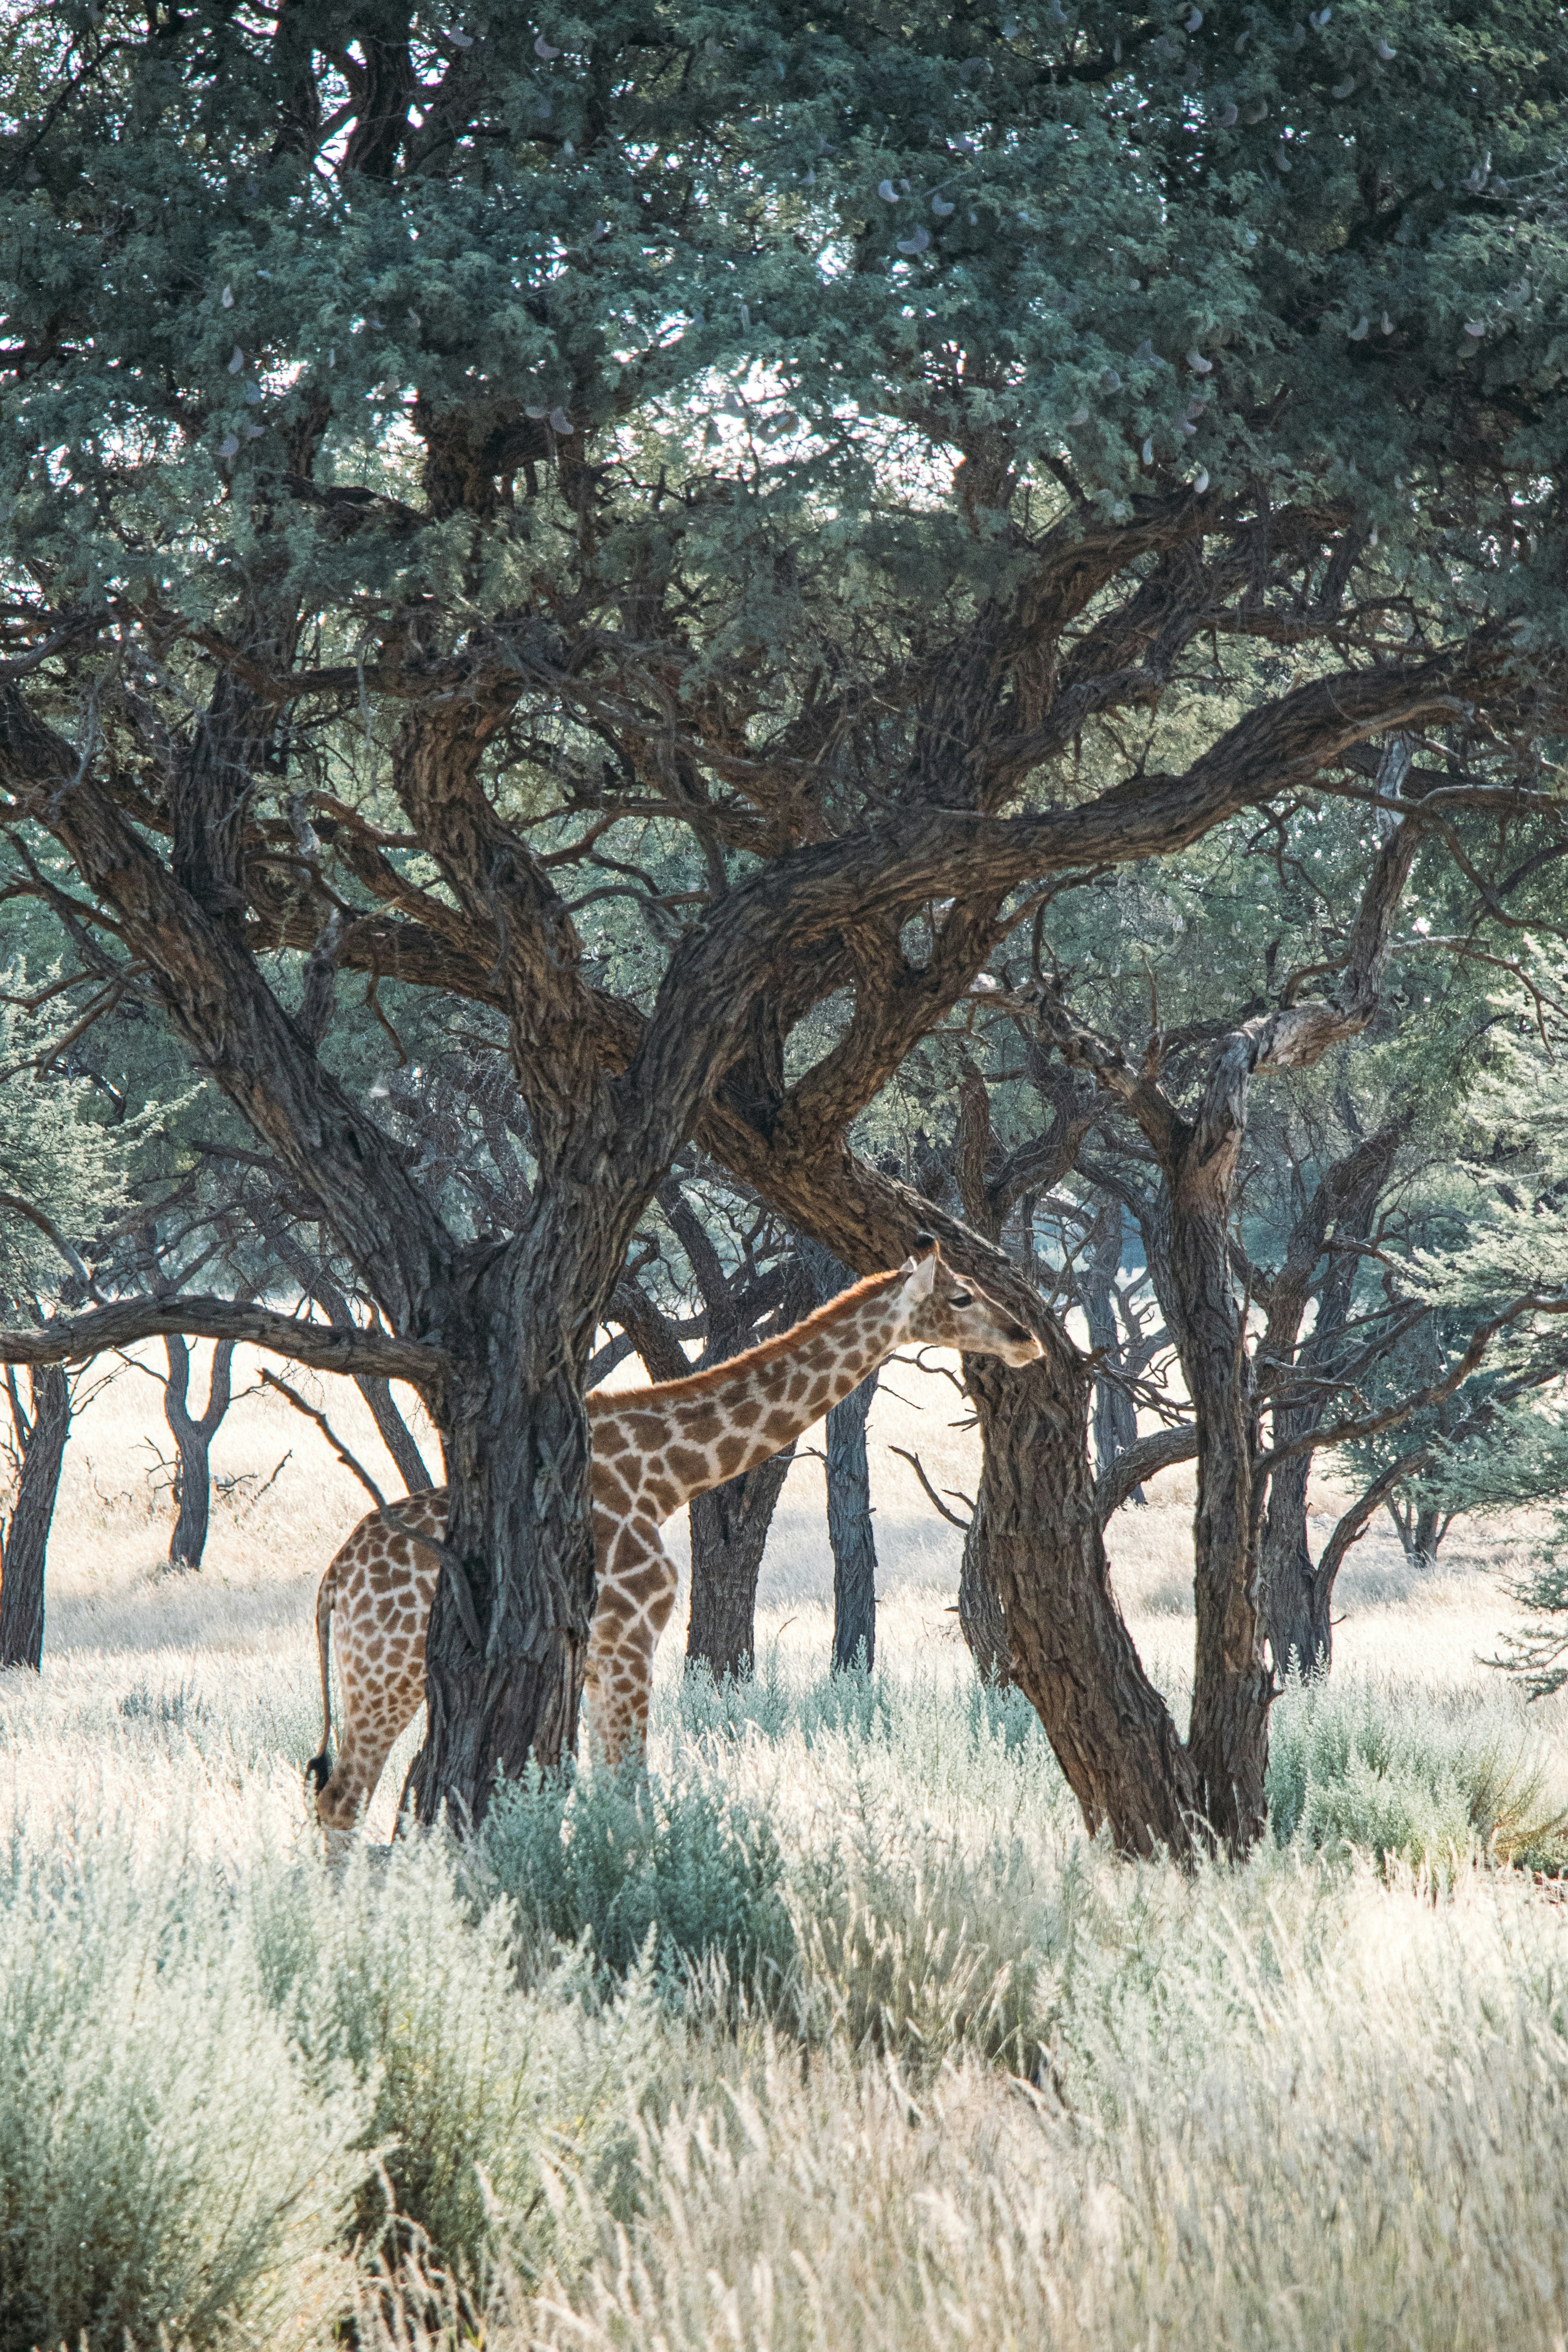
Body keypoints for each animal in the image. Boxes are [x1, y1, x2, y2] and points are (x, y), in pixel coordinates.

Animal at [306, 1237, 1042, 1827]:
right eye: (961, 1294)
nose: (1026, 1337)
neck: (666, 1477)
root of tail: (333, 1580)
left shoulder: (600, 1657)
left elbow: (607, 1789)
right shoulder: (630, 1638)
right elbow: (629, 1790)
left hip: (378, 1671)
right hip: (384, 1670)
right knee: (342, 1798)